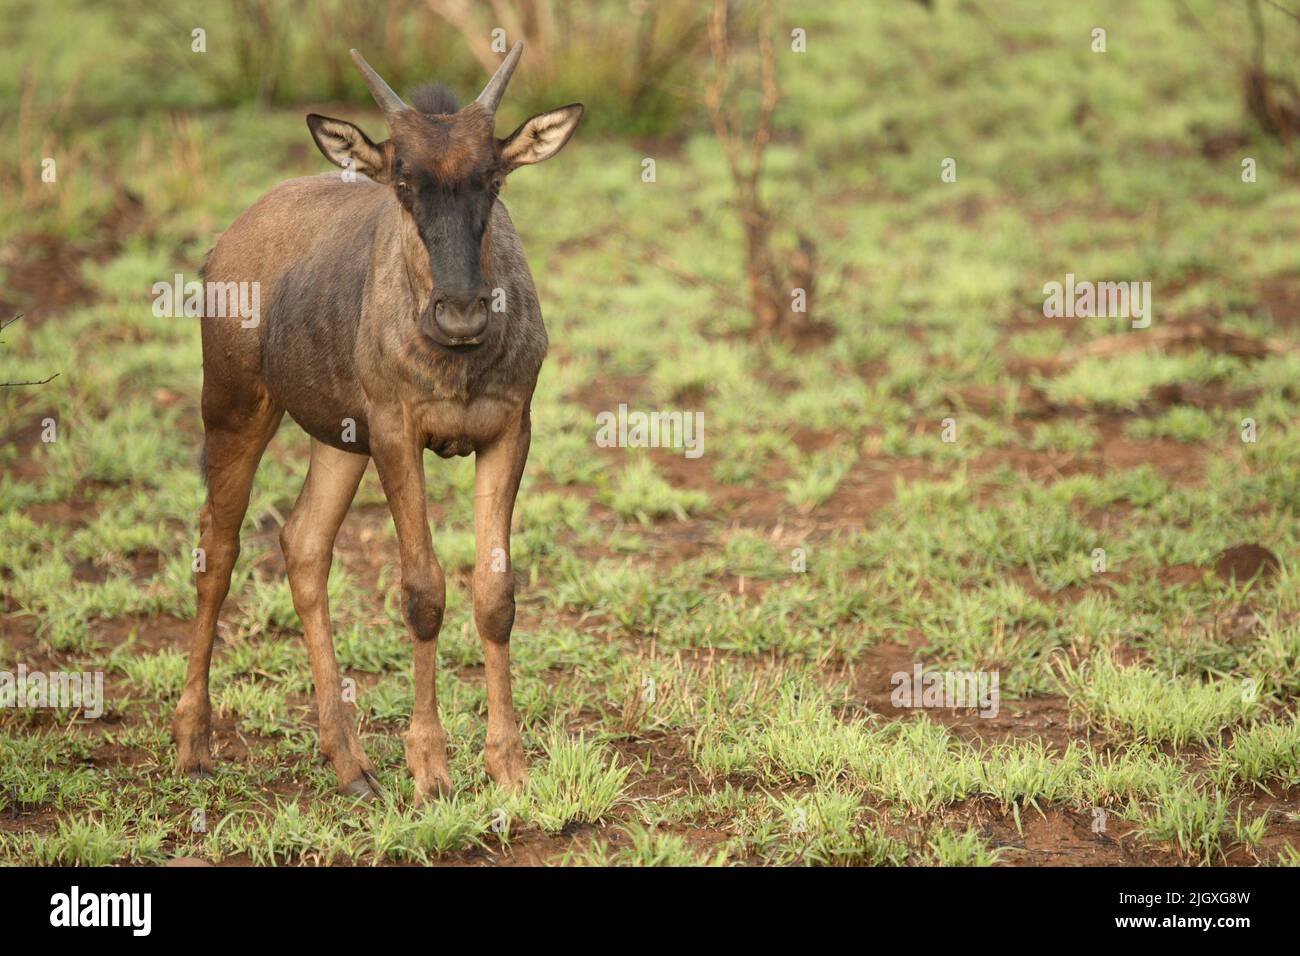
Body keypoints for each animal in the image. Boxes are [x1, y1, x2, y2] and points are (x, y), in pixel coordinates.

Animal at [172, 43, 582, 800]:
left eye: (493, 177)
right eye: (402, 178)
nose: (461, 314)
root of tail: (227, 240)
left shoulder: (508, 432)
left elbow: (495, 593)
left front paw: (509, 768)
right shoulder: (400, 436)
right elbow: (423, 592)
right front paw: (430, 770)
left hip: (341, 440)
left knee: (304, 544)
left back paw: (351, 762)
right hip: (236, 409)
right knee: (219, 548)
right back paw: (193, 744)